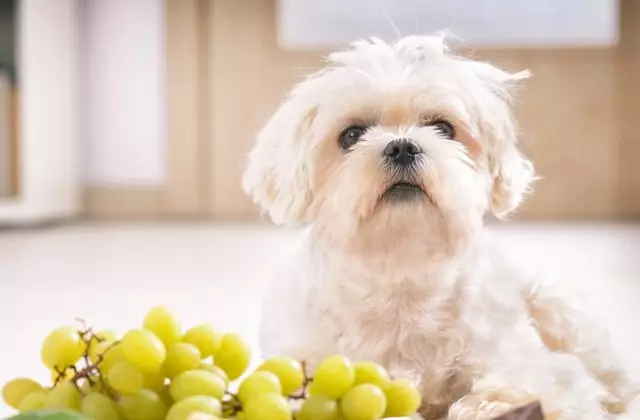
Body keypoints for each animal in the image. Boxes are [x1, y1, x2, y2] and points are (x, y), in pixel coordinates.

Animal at [242, 37, 636, 420]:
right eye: (351, 135)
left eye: (443, 127)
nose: (402, 145)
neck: (402, 274)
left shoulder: (523, 358)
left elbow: (533, 382)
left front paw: (499, 404)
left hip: (554, 305)